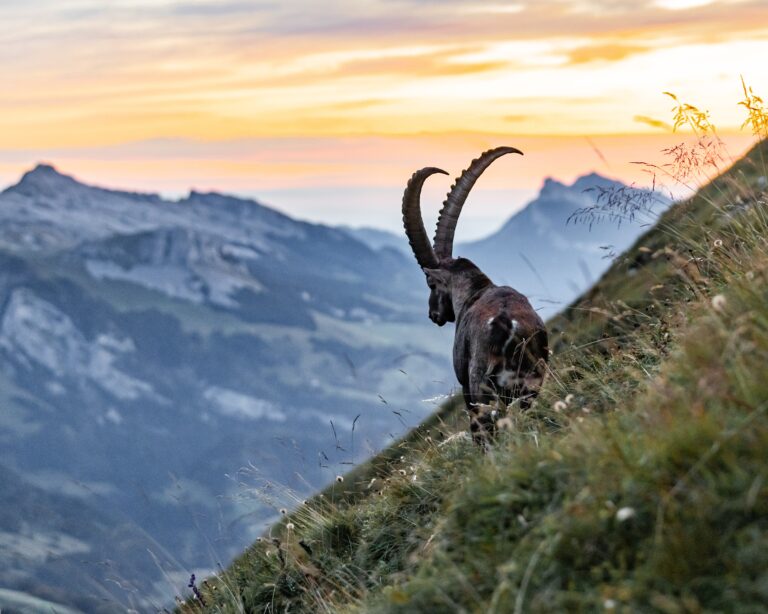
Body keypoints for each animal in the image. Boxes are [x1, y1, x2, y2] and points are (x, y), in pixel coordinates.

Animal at [401, 147, 549, 446]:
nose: (433, 315)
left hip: (482, 388)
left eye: (431, 283)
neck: (475, 291)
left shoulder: (465, 385)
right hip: (532, 380)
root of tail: (507, 326)